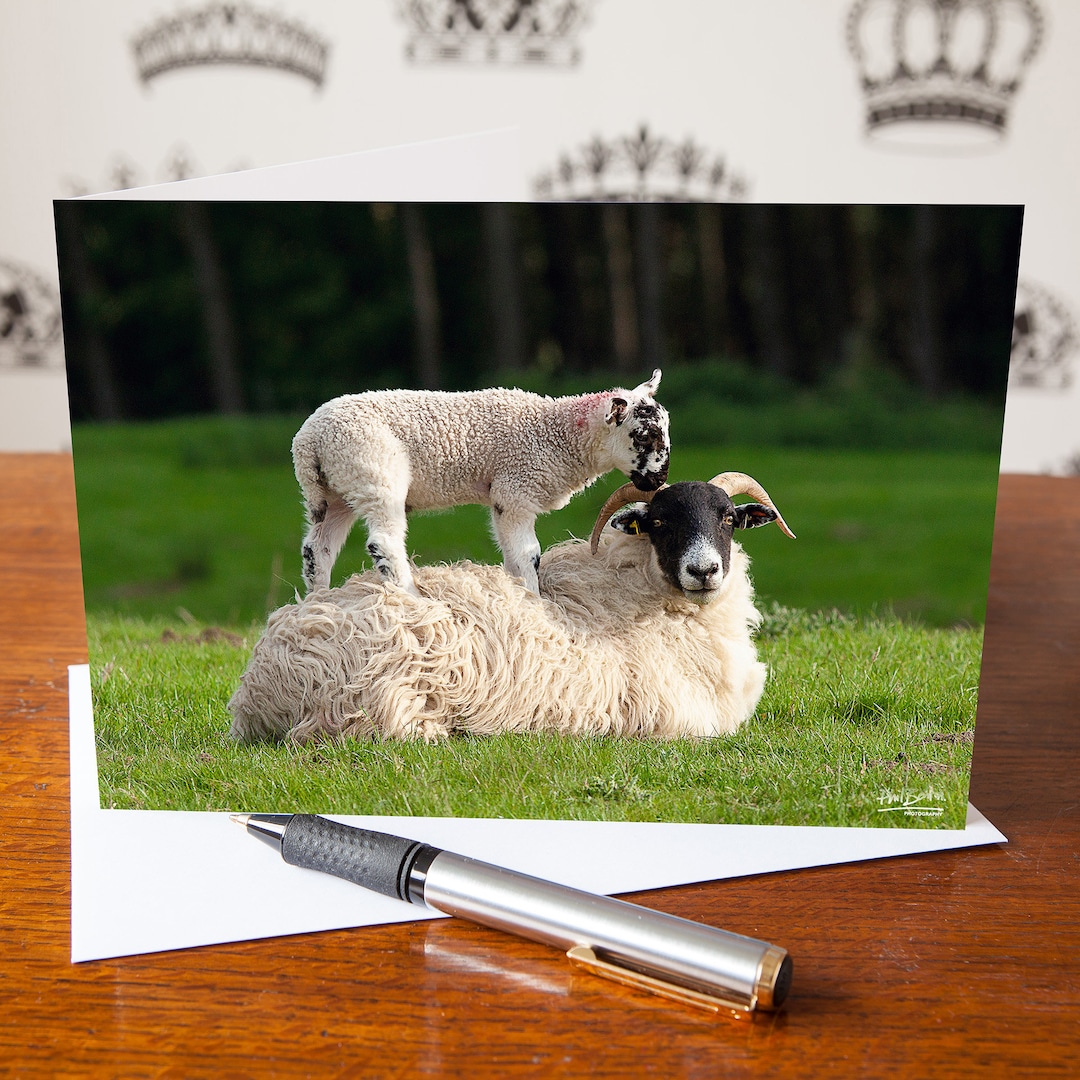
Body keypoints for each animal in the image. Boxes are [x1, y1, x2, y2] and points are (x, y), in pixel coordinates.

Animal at [290, 370, 670, 598]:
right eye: (644, 435)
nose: (659, 479)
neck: (556, 433)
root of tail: (309, 441)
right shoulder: (517, 489)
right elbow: (530, 555)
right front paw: (535, 601)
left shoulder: (501, 498)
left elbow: (512, 557)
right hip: (375, 474)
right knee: (384, 543)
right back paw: (412, 599)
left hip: (336, 491)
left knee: (316, 550)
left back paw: (318, 602)